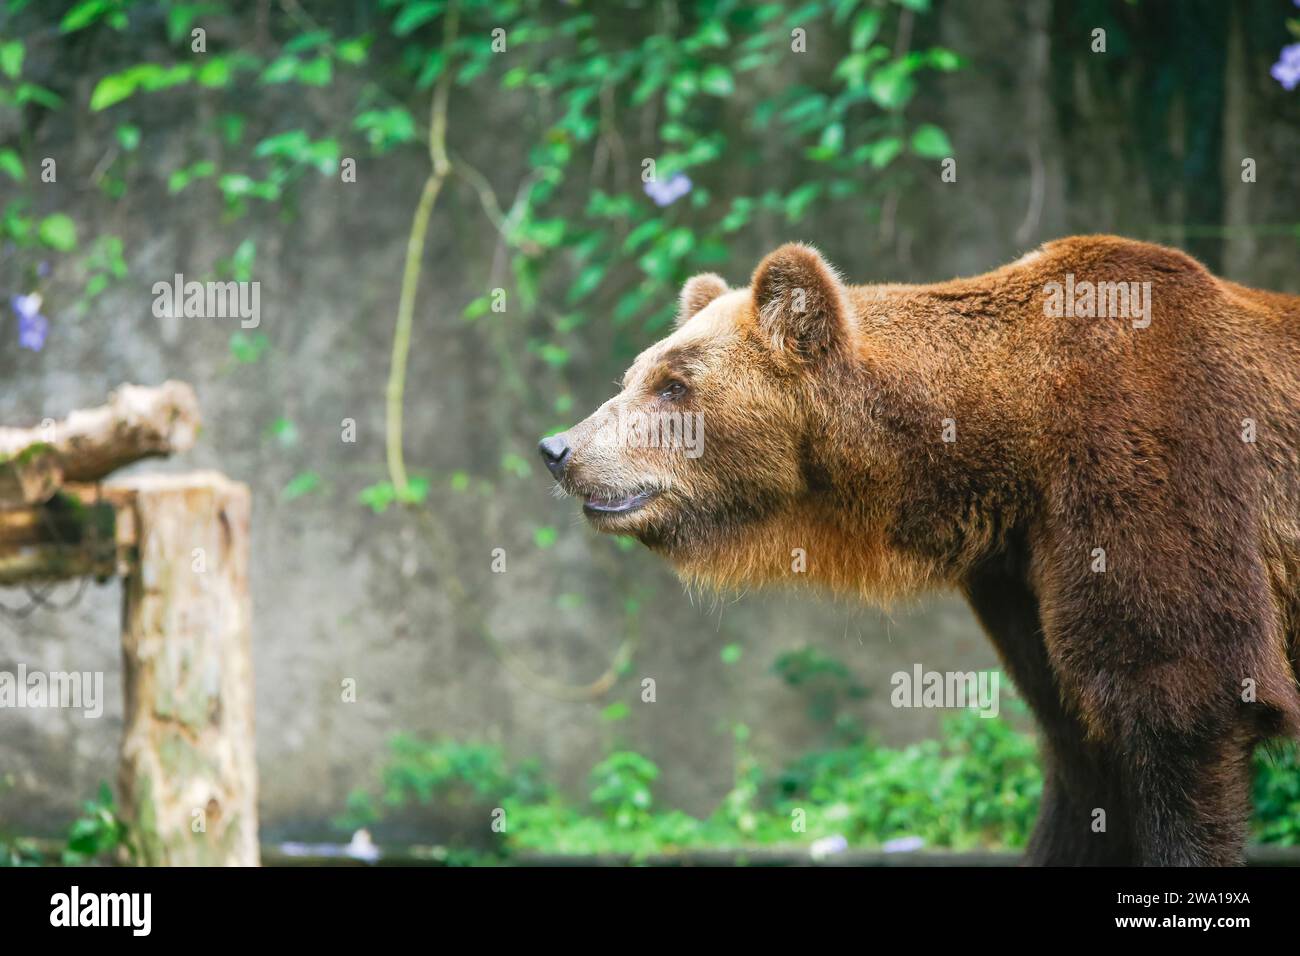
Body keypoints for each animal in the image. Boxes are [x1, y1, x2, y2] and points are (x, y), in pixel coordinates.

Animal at [538, 235, 1300, 866]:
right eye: (634, 375)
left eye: (675, 384)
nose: (558, 448)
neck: (1008, 442)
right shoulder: (1025, 573)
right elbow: (1083, 751)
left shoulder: (1148, 468)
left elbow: (1182, 694)